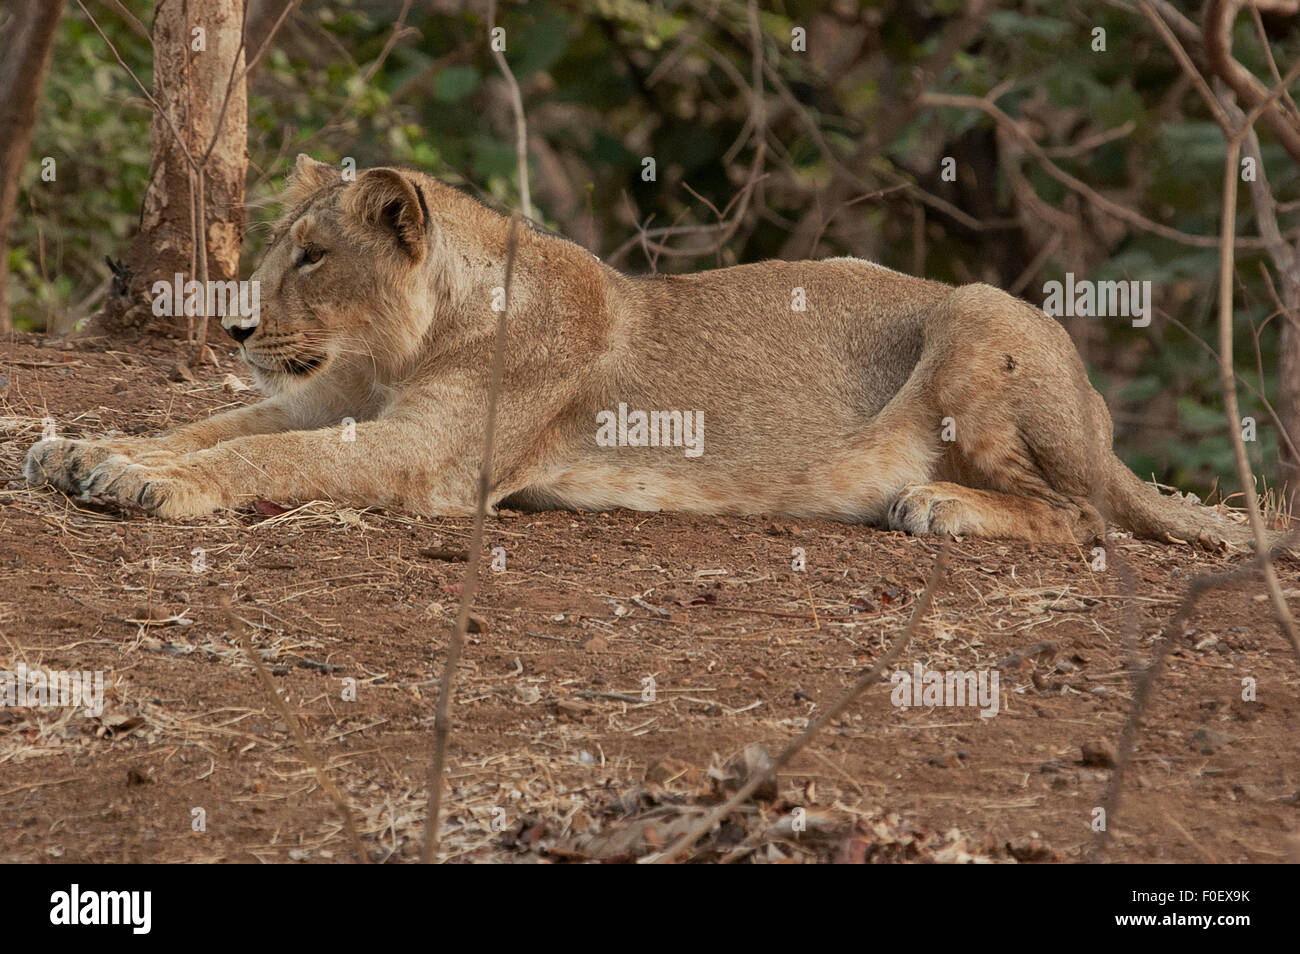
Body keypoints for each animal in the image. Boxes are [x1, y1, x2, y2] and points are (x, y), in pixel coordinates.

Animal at [23, 154, 1266, 549]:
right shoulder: (324, 400)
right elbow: (211, 424)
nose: (233, 327)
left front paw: (141, 482)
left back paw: (940, 507)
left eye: (315, 257)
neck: (408, 345)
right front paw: (85, 449)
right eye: (283, 248)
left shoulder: (428, 458)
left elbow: (257, 458)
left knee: (1087, 517)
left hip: (976, 313)